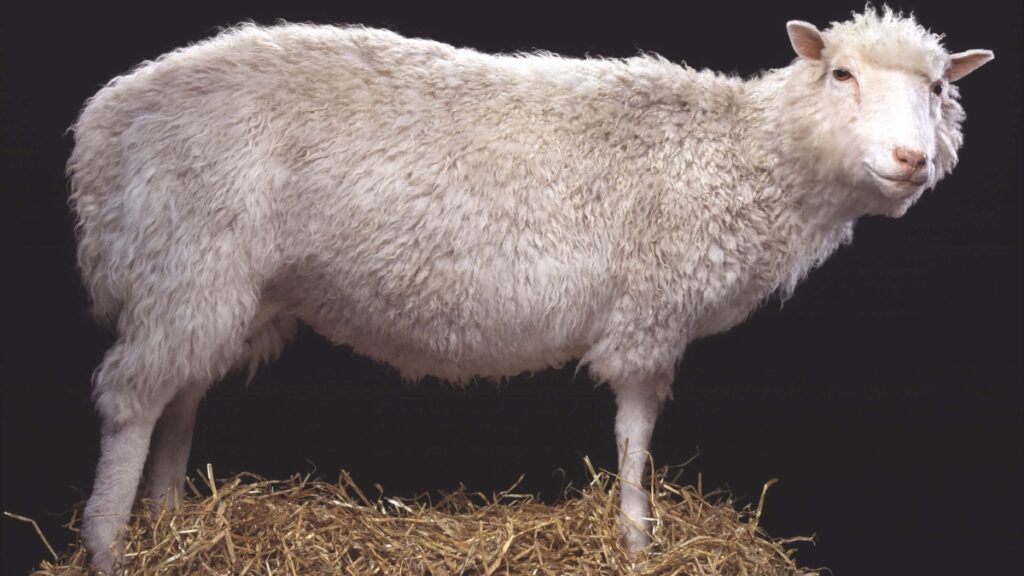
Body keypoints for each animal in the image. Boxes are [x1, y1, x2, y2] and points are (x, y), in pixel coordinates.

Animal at [67, 6, 992, 572]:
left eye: (939, 88)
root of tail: (103, 127)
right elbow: (633, 438)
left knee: (181, 393)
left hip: (214, 283)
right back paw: (111, 545)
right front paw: (636, 541)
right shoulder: (649, 313)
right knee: (130, 401)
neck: (740, 156)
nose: (911, 160)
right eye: (840, 75)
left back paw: (173, 525)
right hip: (185, 255)